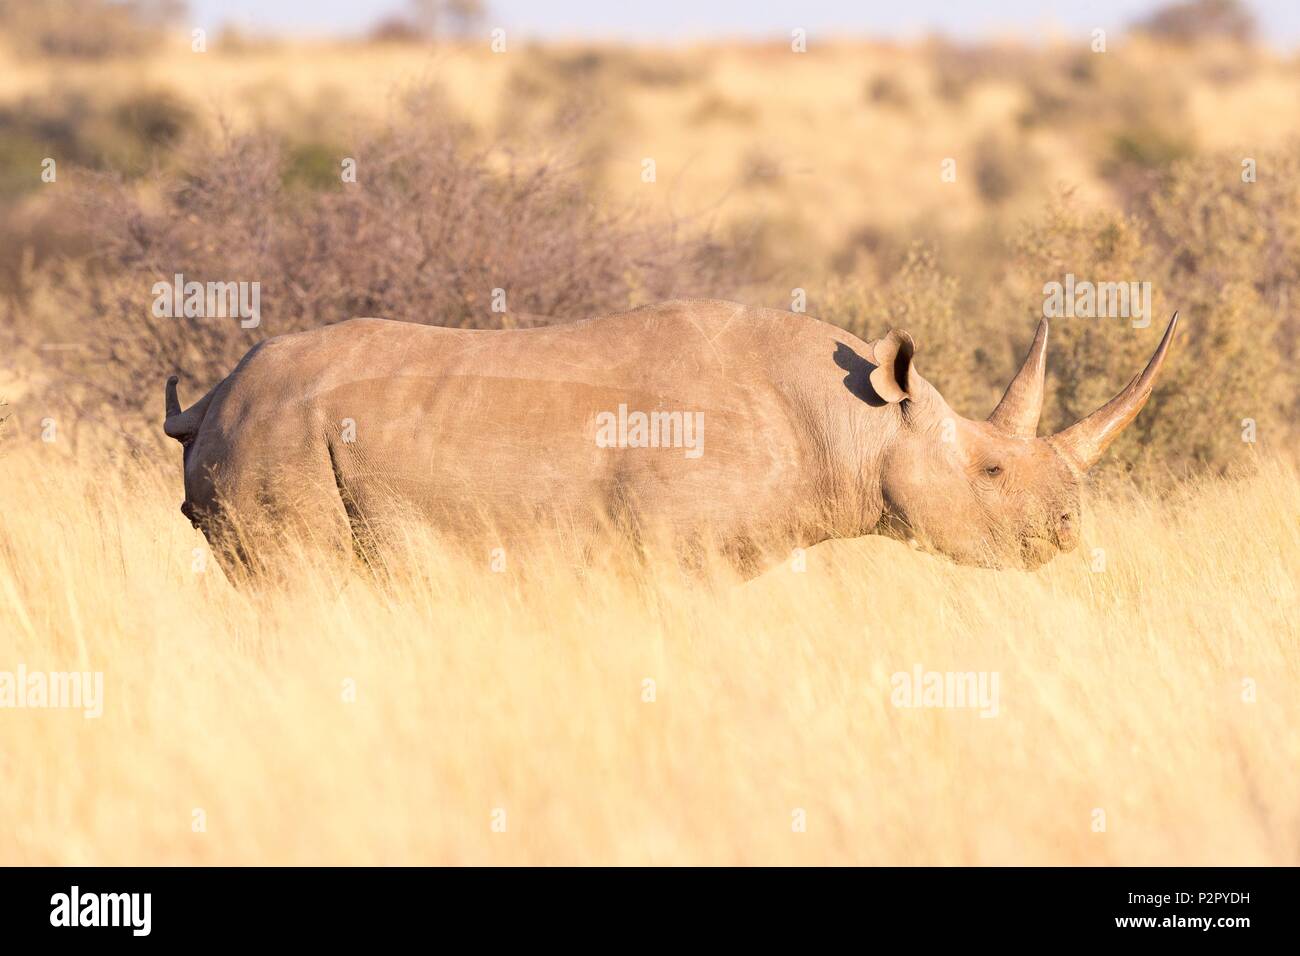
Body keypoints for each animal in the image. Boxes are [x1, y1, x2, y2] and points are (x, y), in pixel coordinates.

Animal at [163, 299, 1177, 576]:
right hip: (273, 438)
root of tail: (210, 400)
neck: (859, 427)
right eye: (993, 469)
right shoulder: (671, 552)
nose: (1066, 535)